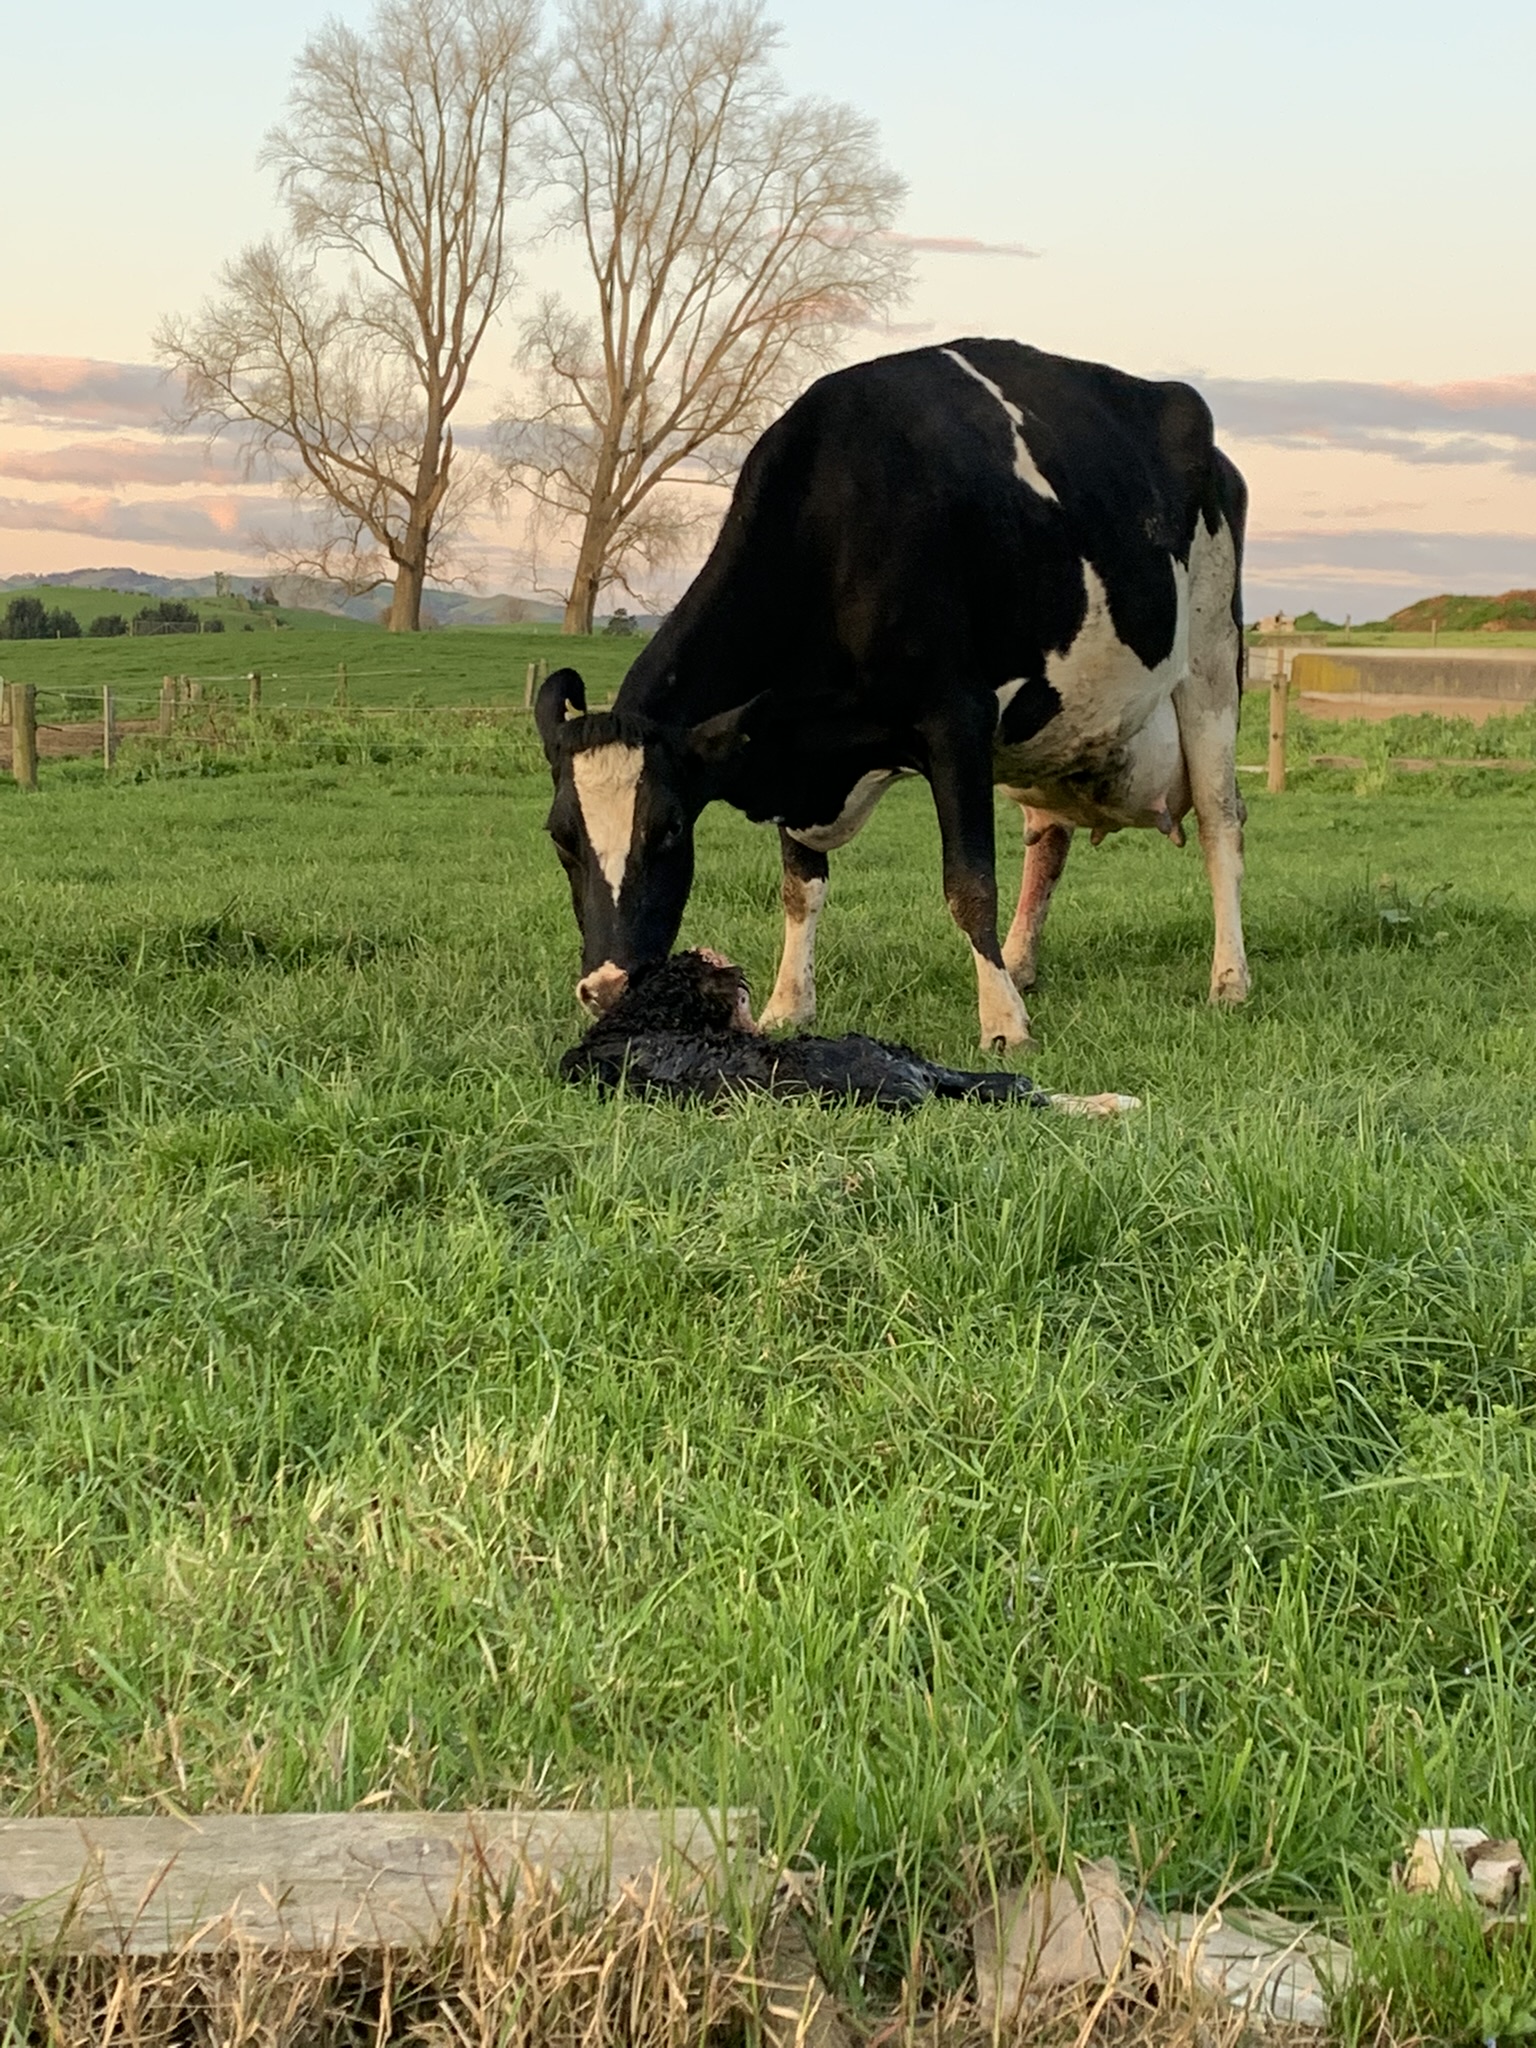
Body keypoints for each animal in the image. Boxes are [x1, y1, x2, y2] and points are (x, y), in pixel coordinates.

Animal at [537, 338, 1249, 1050]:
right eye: (559, 837)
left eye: (670, 828)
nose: (607, 987)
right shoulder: (785, 746)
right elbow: (800, 888)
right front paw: (787, 1006)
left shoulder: (956, 717)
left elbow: (969, 882)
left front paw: (1003, 1021)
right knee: (1049, 839)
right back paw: (1021, 962)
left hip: (1212, 658)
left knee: (1221, 822)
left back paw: (1229, 980)